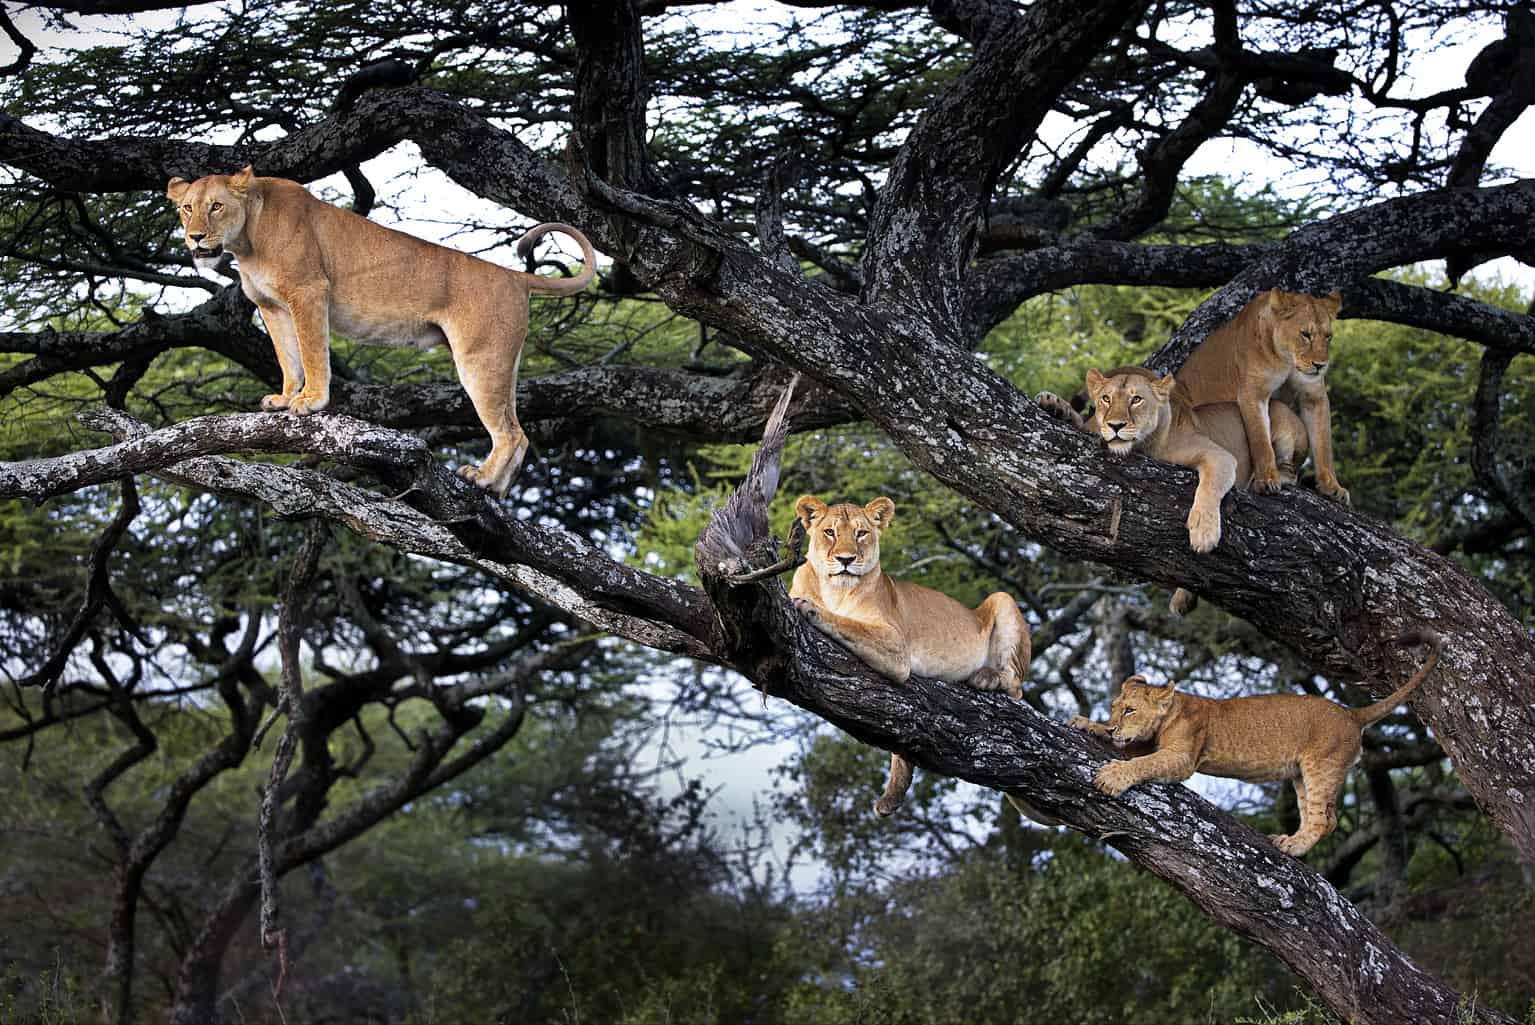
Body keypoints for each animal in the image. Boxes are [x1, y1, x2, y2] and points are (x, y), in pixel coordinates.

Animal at [166, 166, 596, 496]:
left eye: (216, 206)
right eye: (187, 208)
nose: (195, 237)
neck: (247, 240)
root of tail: (515, 276)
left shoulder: (309, 291)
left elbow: (312, 352)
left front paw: (310, 401)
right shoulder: (272, 307)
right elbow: (288, 358)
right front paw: (285, 398)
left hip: (480, 358)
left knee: (509, 433)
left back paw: (482, 478)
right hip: (503, 360)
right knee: (519, 430)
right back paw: (497, 489)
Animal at [789, 495, 1031, 816]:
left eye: (861, 534)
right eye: (829, 532)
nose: (846, 560)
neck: (835, 590)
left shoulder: (896, 645)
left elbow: (847, 623)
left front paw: (810, 608)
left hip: (1002, 599)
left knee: (1016, 687)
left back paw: (986, 677)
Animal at [1069, 628, 1441, 856]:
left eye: (1130, 710)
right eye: (1114, 708)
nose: (1114, 728)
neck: (1171, 712)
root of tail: (1351, 713)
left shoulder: (1183, 758)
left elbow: (1142, 761)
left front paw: (1111, 777)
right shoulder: (1152, 744)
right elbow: (1134, 750)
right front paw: (1088, 725)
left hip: (1321, 765)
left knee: (1325, 820)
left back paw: (1293, 847)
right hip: (1300, 775)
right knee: (1321, 816)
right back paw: (1290, 840)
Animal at [1176, 288, 1347, 504]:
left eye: (1328, 337)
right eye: (1305, 334)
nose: (1320, 365)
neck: (1288, 359)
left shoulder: (1313, 396)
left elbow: (1324, 445)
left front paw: (1332, 486)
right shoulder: (1253, 392)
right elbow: (1260, 441)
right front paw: (1267, 480)